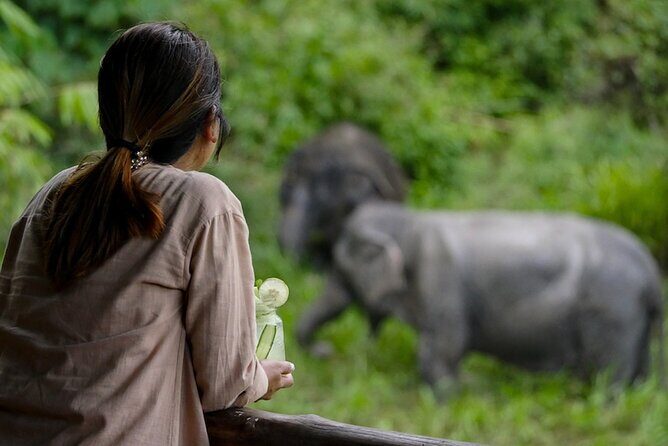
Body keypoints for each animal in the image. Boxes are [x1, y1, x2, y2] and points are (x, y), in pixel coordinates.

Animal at [297, 201, 665, 391]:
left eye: (341, 270)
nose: (326, 351)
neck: (411, 220)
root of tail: (652, 272)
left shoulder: (439, 277)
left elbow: (444, 342)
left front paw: (451, 393)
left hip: (613, 311)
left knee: (610, 371)